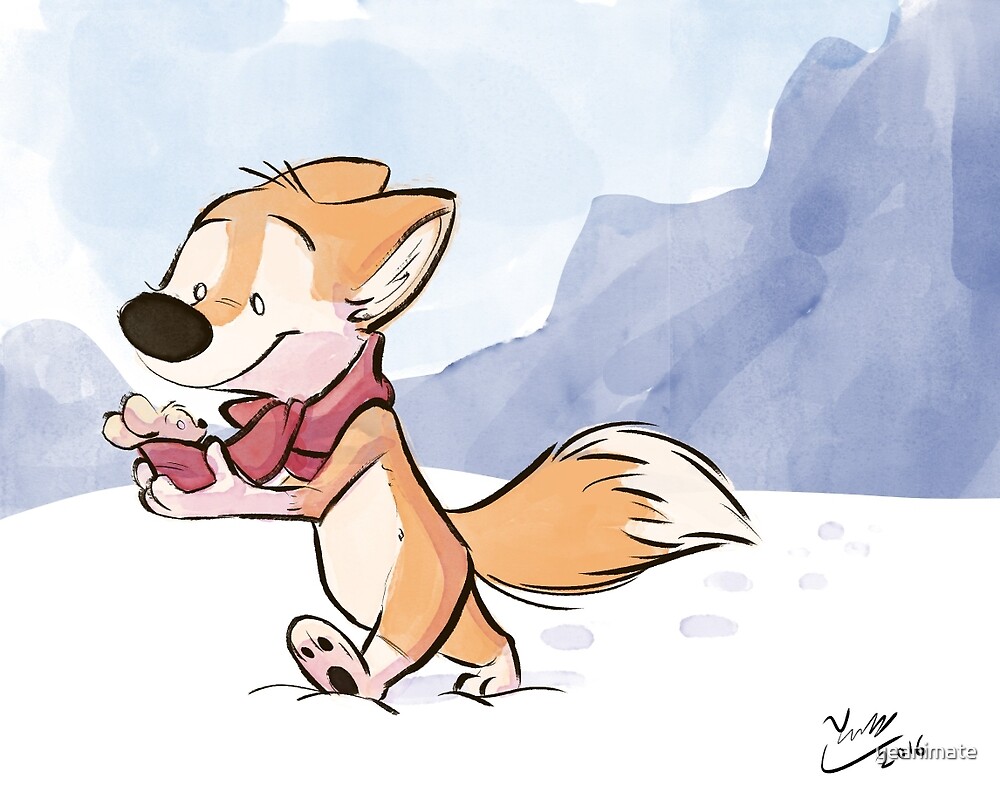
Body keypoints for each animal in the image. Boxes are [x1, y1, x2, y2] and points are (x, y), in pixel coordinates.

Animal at [110, 156, 759, 704]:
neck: (313, 402)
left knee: (413, 651)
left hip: (422, 592)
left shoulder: (361, 436)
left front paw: (203, 486)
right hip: (409, 608)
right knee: (480, 640)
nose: (154, 320)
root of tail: (462, 541)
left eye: (259, 304)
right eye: (188, 284)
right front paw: (162, 449)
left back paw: (347, 670)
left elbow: (293, 495)